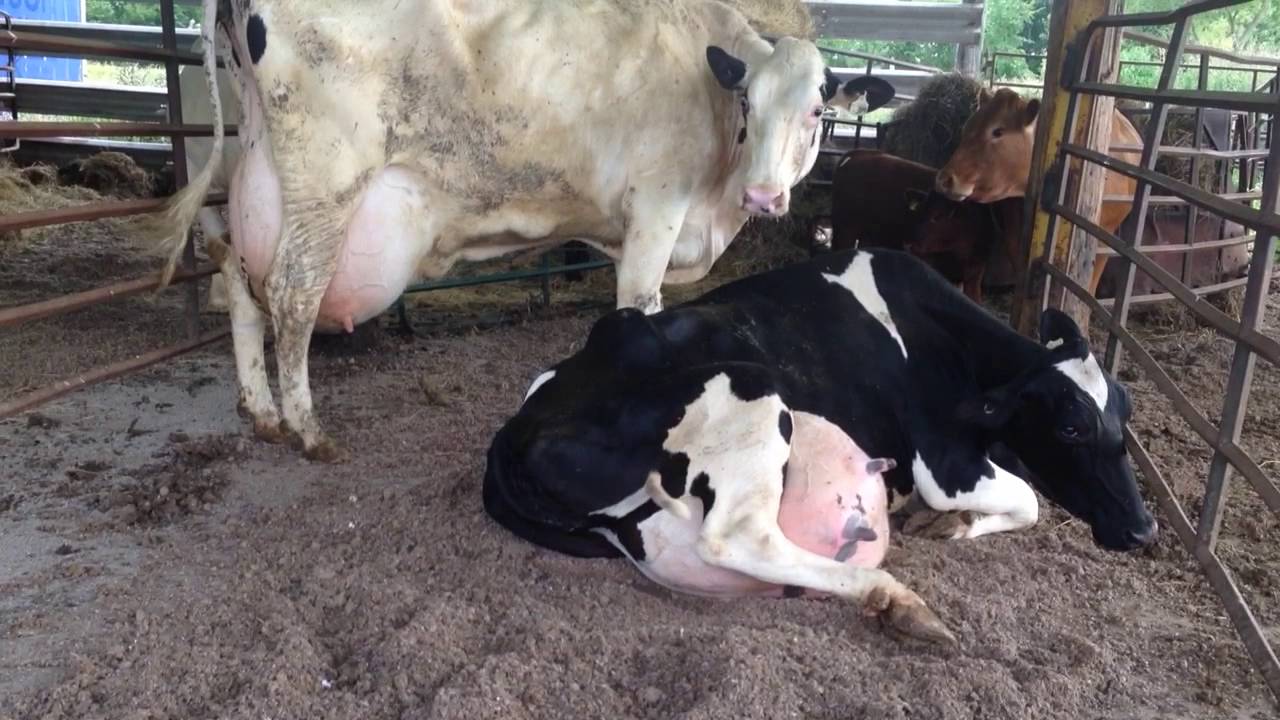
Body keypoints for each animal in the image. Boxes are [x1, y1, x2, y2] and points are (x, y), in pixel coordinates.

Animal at [139, 0, 896, 462]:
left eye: (819, 110)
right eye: (748, 102)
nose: (765, 195)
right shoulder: (656, 208)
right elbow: (639, 309)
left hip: (252, 180)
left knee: (239, 282)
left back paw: (262, 411)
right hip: (326, 183)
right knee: (292, 297)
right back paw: (306, 427)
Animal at [483, 248, 1159, 646]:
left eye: (1125, 416)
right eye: (1070, 428)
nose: (1144, 529)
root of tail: (515, 434)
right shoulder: (944, 461)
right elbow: (1029, 502)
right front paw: (954, 523)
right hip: (751, 388)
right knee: (740, 539)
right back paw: (897, 600)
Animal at [829, 149, 1020, 303]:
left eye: (938, 217)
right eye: (920, 211)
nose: (908, 244)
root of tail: (859, 153)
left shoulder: (974, 272)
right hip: (845, 229)